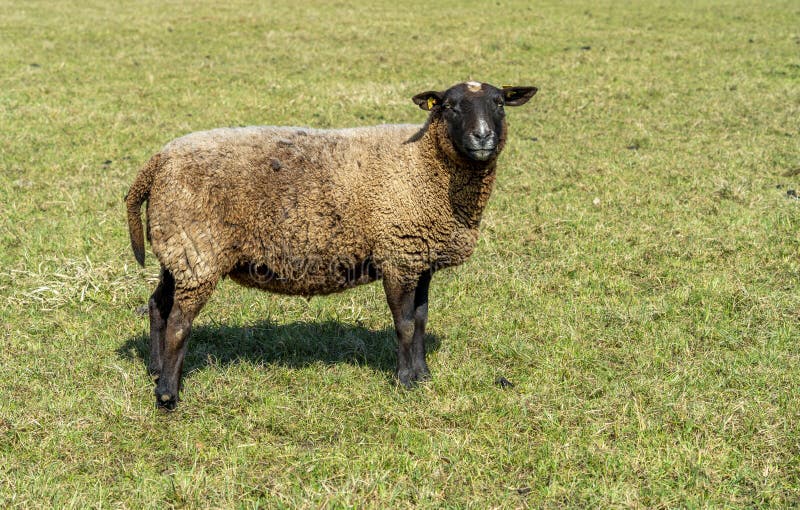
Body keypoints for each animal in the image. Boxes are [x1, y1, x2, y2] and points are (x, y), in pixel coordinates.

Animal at [126, 81, 538, 409]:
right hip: (199, 250)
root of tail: (158, 162)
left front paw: (422, 375)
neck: (424, 164)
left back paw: (155, 368)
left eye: (500, 104)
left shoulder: (418, 258)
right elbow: (404, 324)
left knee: (158, 306)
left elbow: (421, 320)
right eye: (450, 106)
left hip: (179, 247)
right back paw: (168, 394)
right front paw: (405, 381)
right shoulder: (397, 254)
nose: (482, 137)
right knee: (180, 322)